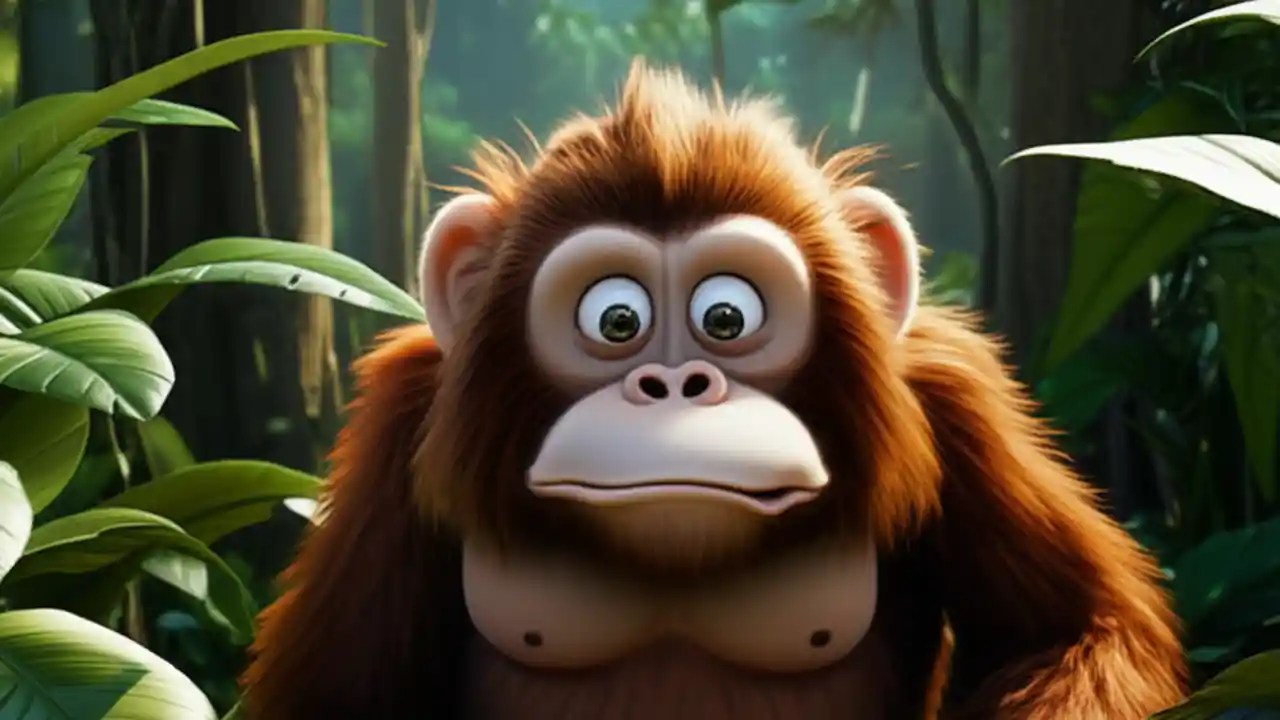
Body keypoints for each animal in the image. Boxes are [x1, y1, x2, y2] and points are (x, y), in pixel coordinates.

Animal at [240, 60, 1187, 720]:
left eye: (725, 317)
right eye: (616, 320)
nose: (674, 383)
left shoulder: (954, 402)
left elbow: (1078, 632)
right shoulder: (405, 421)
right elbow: (343, 689)